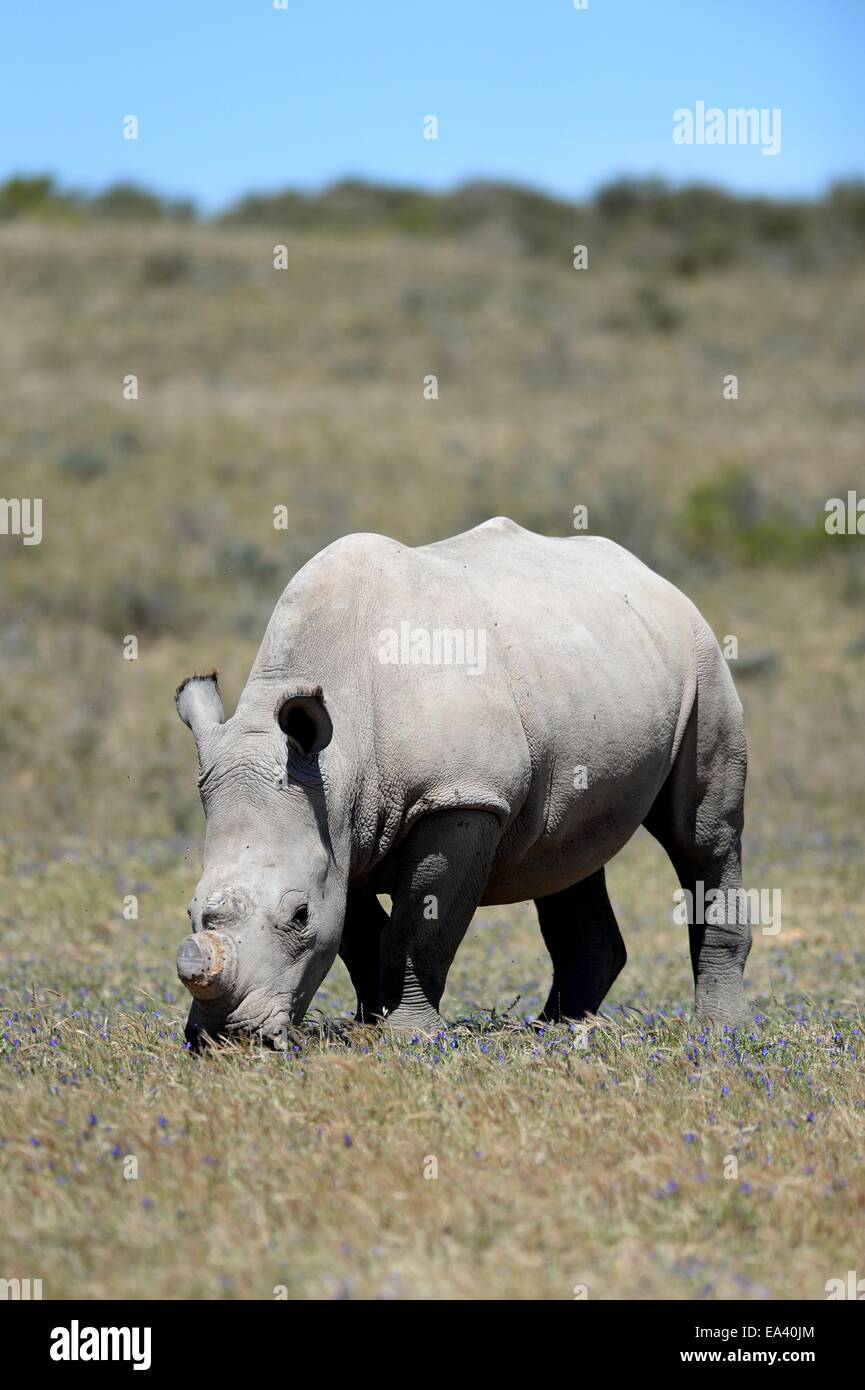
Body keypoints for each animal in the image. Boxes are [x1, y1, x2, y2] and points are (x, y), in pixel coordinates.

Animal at [175, 517, 750, 1046]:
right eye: (191, 910)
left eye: (297, 915)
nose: (229, 1037)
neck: (339, 763)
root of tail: (652, 576)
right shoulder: (337, 824)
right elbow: (357, 931)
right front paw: (369, 1026)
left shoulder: (459, 797)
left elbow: (417, 928)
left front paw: (407, 1036)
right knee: (567, 854)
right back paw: (556, 1031)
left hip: (702, 662)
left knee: (703, 838)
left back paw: (717, 1031)